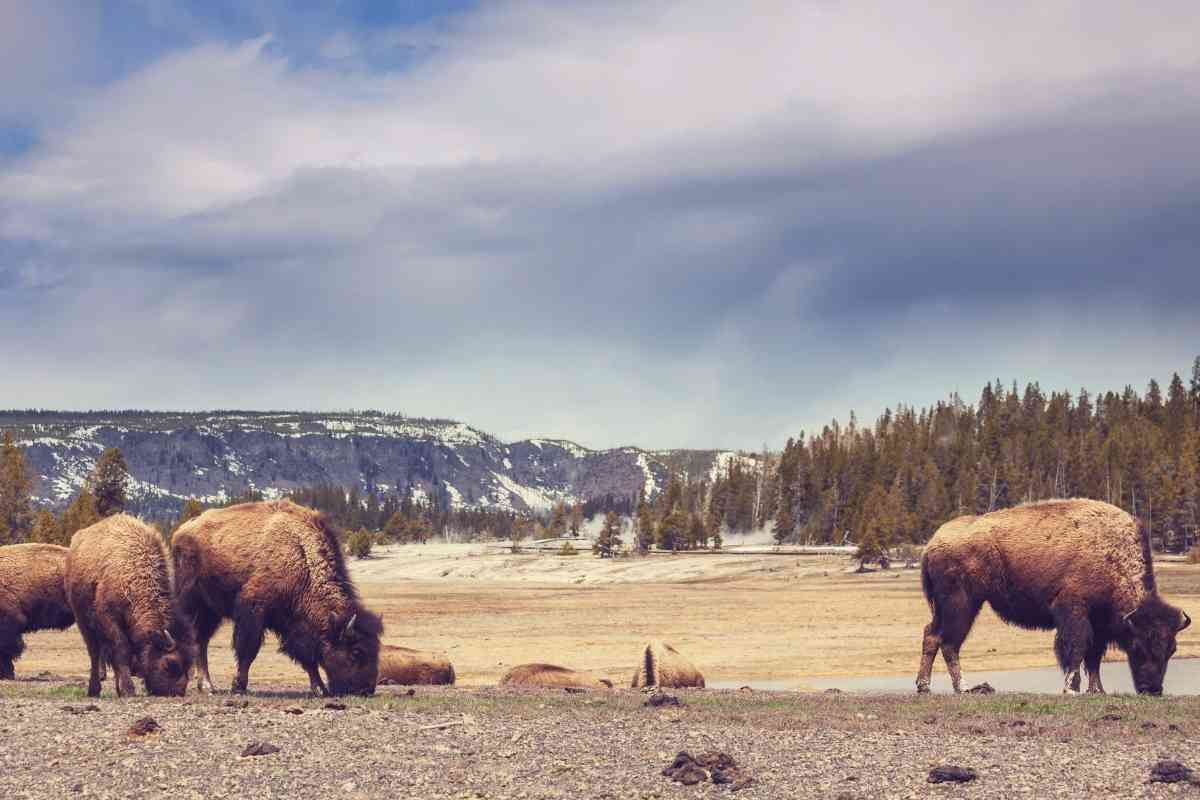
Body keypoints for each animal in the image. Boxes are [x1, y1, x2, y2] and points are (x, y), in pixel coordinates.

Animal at [66, 515, 195, 697]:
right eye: (170, 664)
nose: (178, 692)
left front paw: (123, 689)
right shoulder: (109, 619)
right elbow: (121, 650)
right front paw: (128, 689)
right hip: (83, 621)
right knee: (94, 652)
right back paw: (94, 690)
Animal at [172, 500, 383, 696]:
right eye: (356, 652)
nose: (366, 689)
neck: (302, 557)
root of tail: (181, 531)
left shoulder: (294, 625)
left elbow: (307, 658)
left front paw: (320, 688)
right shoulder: (253, 611)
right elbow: (248, 650)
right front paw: (238, 686)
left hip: (211, 611)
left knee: (201, 640)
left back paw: (206, 685)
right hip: (194, 604)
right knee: (198, 639)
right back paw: (208, 686)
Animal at [917, 499, 1190, 696]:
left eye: (1172, 649)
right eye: (1137, 645)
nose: (1152, 689)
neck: (1111, 557)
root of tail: (932, 544)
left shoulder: (1099, 623)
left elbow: (1094, 658)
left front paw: (1097, 691)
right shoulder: (1074, 611)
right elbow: (1077, 649)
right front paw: (1071, 689)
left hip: (946, 607)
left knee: (931, 635)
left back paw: (924, 687)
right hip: (962, 604)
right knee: (949, 643)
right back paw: (964, 688)